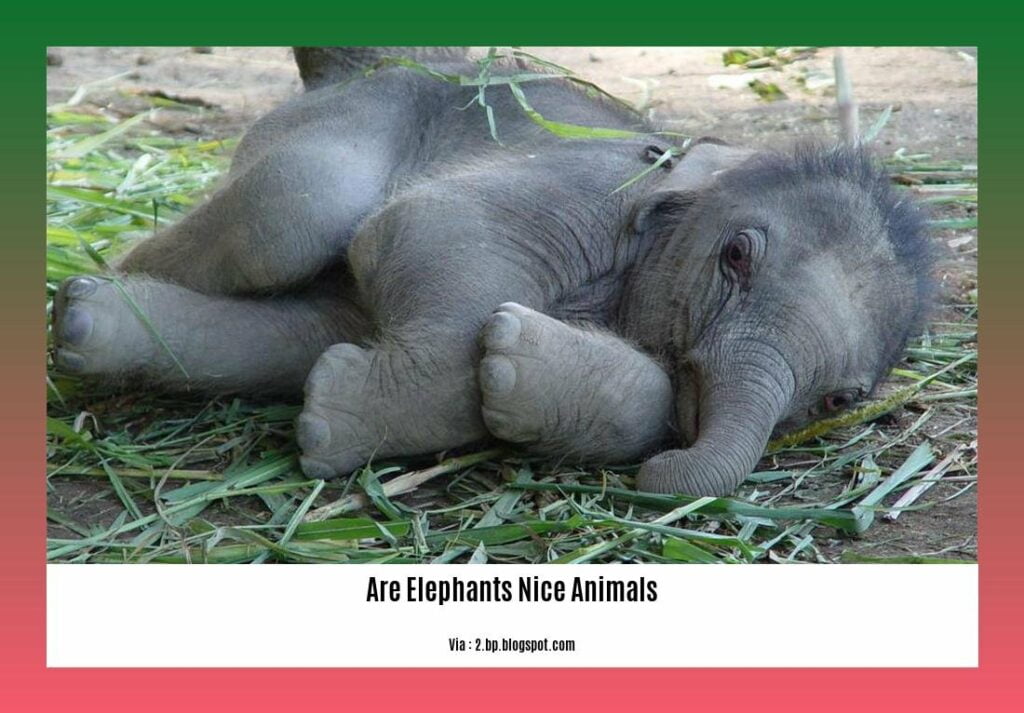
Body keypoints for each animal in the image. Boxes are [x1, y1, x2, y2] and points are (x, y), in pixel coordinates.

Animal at [50, 47, 934, 497]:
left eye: (840, 400)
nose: (659, 477)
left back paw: (90, 325)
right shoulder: (583, 187)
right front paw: (334, 425)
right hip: (356, 112)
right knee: (294, 209)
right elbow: (425, 227)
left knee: (290, 329)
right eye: (736, 256)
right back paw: (79, 307)